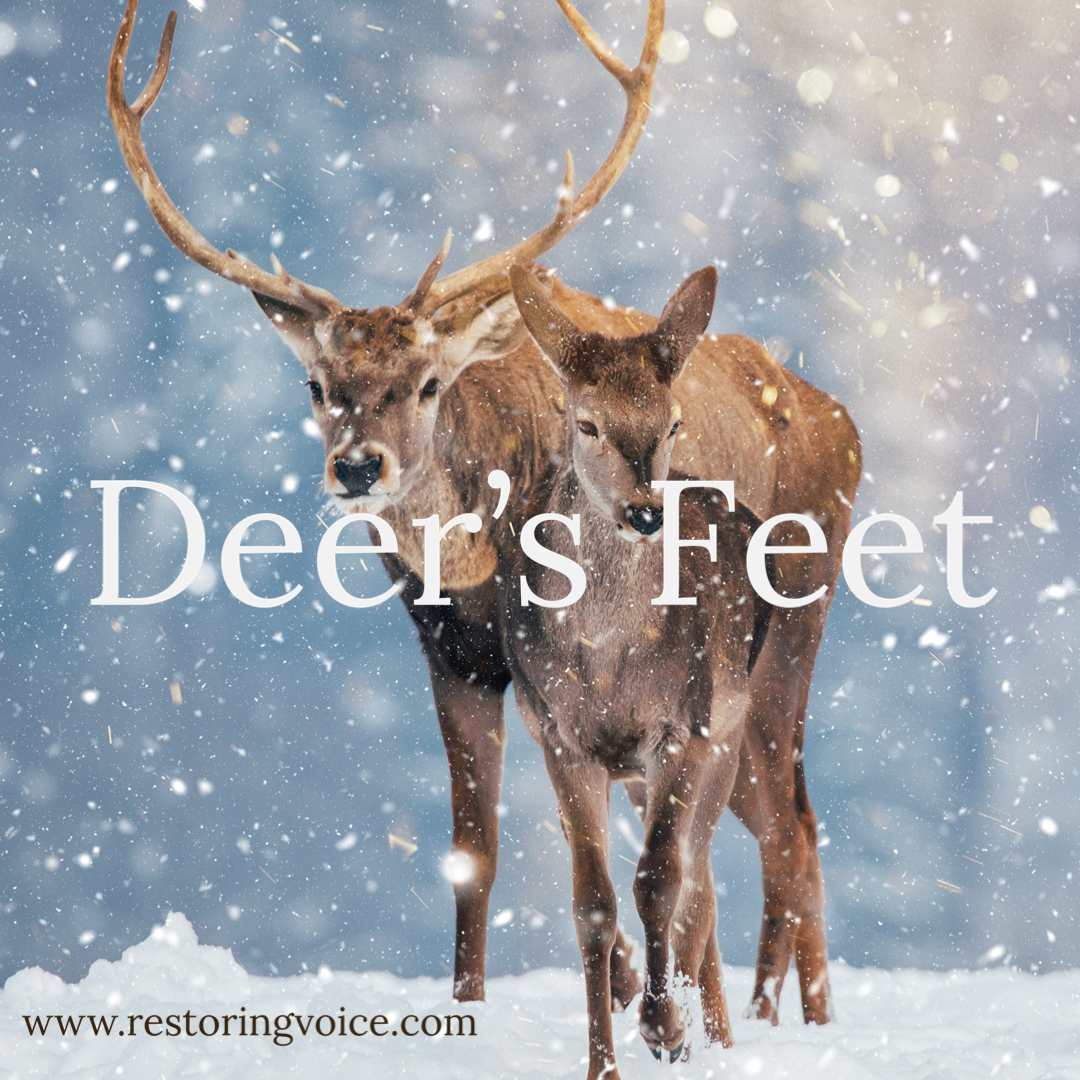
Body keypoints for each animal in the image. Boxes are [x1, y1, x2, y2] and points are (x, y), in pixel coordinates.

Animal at [503, 262, 772, 1077]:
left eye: (674, 419)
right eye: (587, 422)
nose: (646, 512)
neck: (610, 661)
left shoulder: (682, 725)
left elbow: (658, 881)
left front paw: (665, 1026)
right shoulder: (559, 734)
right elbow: (592, 902)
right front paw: (602, 1063)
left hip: (728, 733)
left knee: (699, 884)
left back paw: (705, 1034)